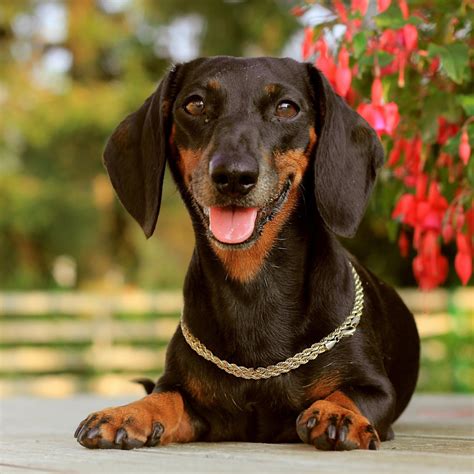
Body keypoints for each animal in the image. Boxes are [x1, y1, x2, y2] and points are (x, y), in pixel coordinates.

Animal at [74, 56, 418, 452]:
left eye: (287, 107)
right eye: (195, 104)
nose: (234, 176)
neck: (252, 288)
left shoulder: (378, 390)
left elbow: (349, 393)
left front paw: (338, 413)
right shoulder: (189, 398)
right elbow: (165, 396)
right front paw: (128, 414)